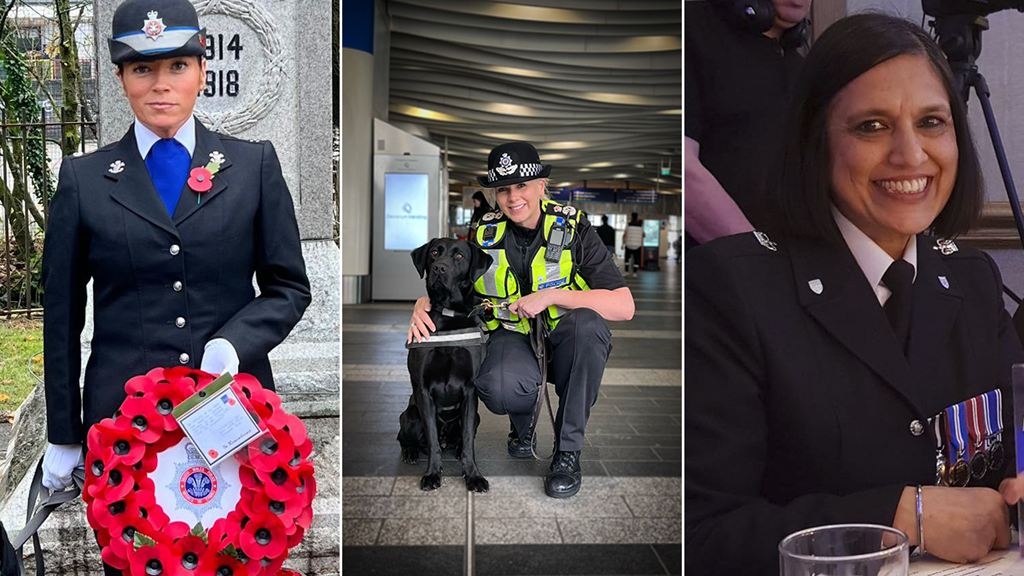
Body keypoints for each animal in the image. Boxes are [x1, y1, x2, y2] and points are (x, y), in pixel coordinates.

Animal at [397, 236, 493, 487]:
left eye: (459, 255)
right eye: (434, 253)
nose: (439, 268)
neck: (450, 314)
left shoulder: (470, 390)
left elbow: (468, 439)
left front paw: (473, 475)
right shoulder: (423, 390)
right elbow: (431, 439)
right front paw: (432, 473)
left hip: (475, 417)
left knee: (461, 438)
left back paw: (456, 449)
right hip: (410, 416)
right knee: (406, 438)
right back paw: (411, 452)